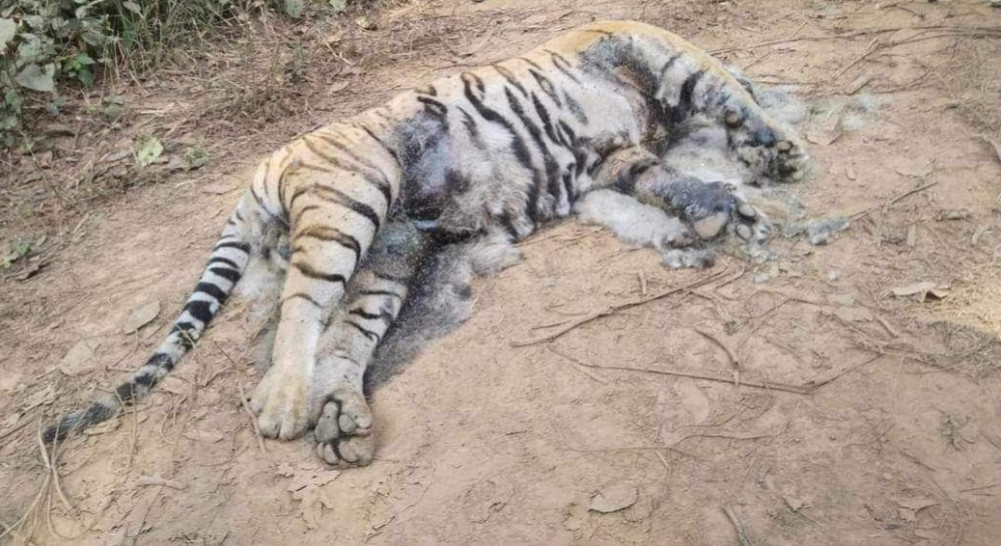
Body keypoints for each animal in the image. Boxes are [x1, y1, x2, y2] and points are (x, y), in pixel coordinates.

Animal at [44, 20, 807, 467]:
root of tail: (260, 170)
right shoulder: (641, 40)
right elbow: (726, 88)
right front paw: (777, 151)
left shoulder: (614, 160)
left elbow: (669, 179)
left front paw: (722, 207)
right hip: (349, 203)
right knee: (300, 310)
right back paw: (284, 406)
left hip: (391, 254)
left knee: (344, 338)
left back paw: (339, 422)